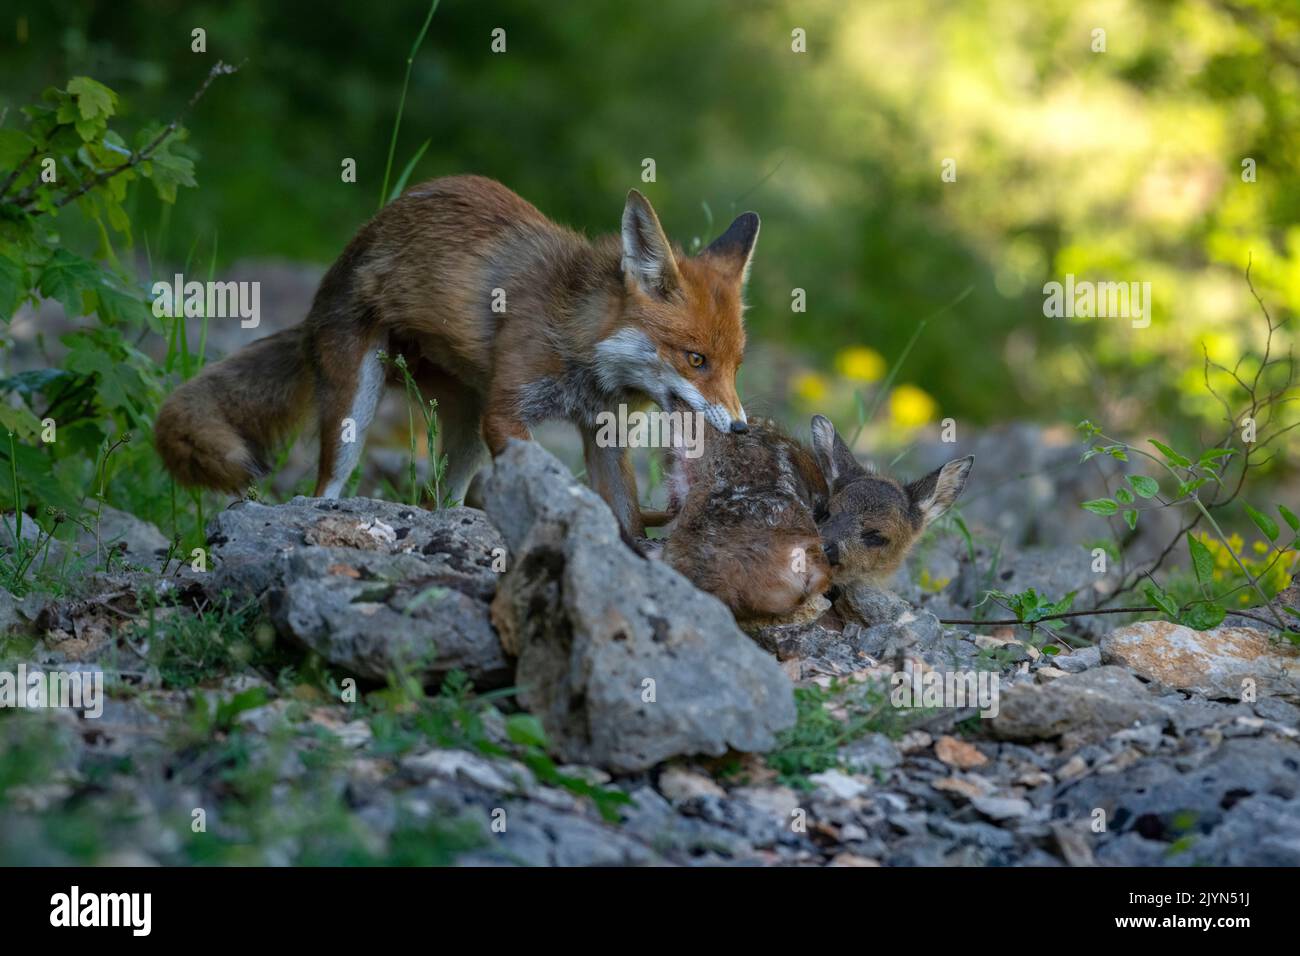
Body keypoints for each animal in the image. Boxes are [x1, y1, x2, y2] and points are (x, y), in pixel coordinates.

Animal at [154, 175, 757, 536]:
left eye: (735, 366)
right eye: (695, 359)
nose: (741, 428)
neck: (580, 339)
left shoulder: (603, 434)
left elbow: (626, 516)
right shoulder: (507, 411)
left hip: (463, 434)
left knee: (435, 501)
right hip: (357, 408)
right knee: (326, 484)